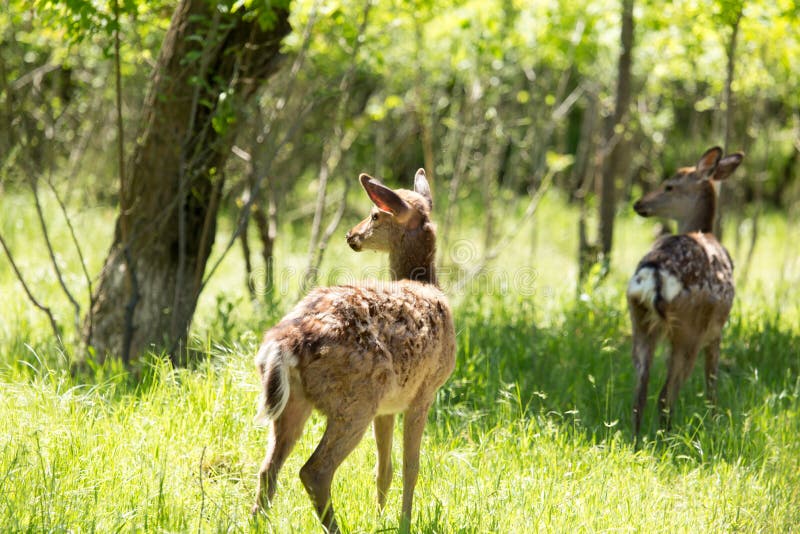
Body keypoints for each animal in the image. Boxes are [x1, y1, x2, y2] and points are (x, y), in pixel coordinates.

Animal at [251, 168, 456, 533]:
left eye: (375, 215)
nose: (351, 235)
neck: (427, 285)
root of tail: (284, 342)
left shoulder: (389, 405)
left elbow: (384, 469)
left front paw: (381, 518)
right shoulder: (425, 391)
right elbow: (412, 467)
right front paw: (403, 523)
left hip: (293, 402)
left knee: (268, 469)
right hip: (355, 400)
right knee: (314, 471)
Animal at [627, 146, 744, 439]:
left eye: (669, 186)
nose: (639, 203)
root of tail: (655, 275)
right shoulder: (717, 330)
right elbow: (712, 381)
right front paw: (715, 421)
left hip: (639, 319)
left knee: (640, 393)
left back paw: (636, 441)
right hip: (689, 328)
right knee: (665, 395)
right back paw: (667, 440)